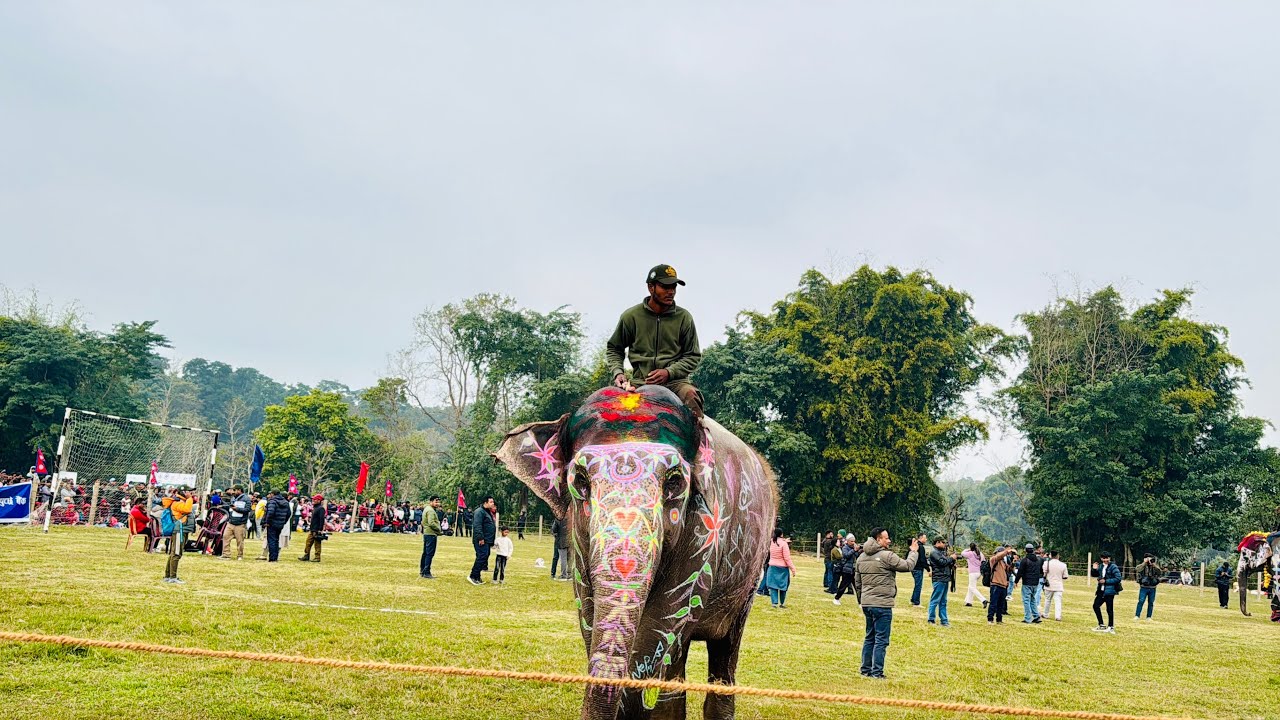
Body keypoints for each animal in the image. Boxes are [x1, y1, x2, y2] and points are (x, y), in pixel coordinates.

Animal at [494, 385, 778, 720]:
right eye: (580, 480)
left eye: (674, 481)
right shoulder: (579, 542)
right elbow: (589, 616)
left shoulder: (704, 536)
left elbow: (658, 629)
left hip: (750, 577)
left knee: (722, 653)